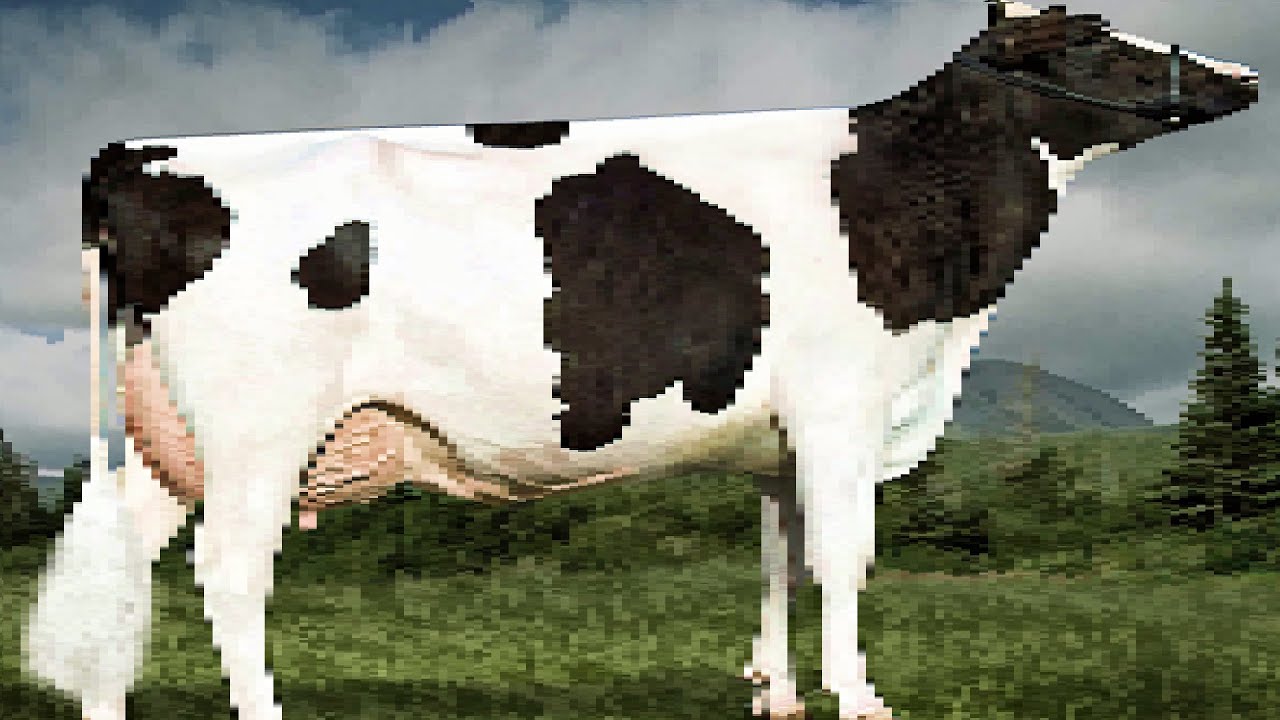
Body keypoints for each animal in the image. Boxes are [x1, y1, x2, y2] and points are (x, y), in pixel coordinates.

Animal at [24, 2, 1257, 718]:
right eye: (1090, 40)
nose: (1241, 78)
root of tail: (141, 151)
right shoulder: (841, 406)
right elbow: (843, 560)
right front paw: (859, 699)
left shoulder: (780, 437)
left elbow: (779, 558)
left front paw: (776, 693)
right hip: (258, 428)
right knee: (231, 573)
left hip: (173, 435)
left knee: (132, 551)